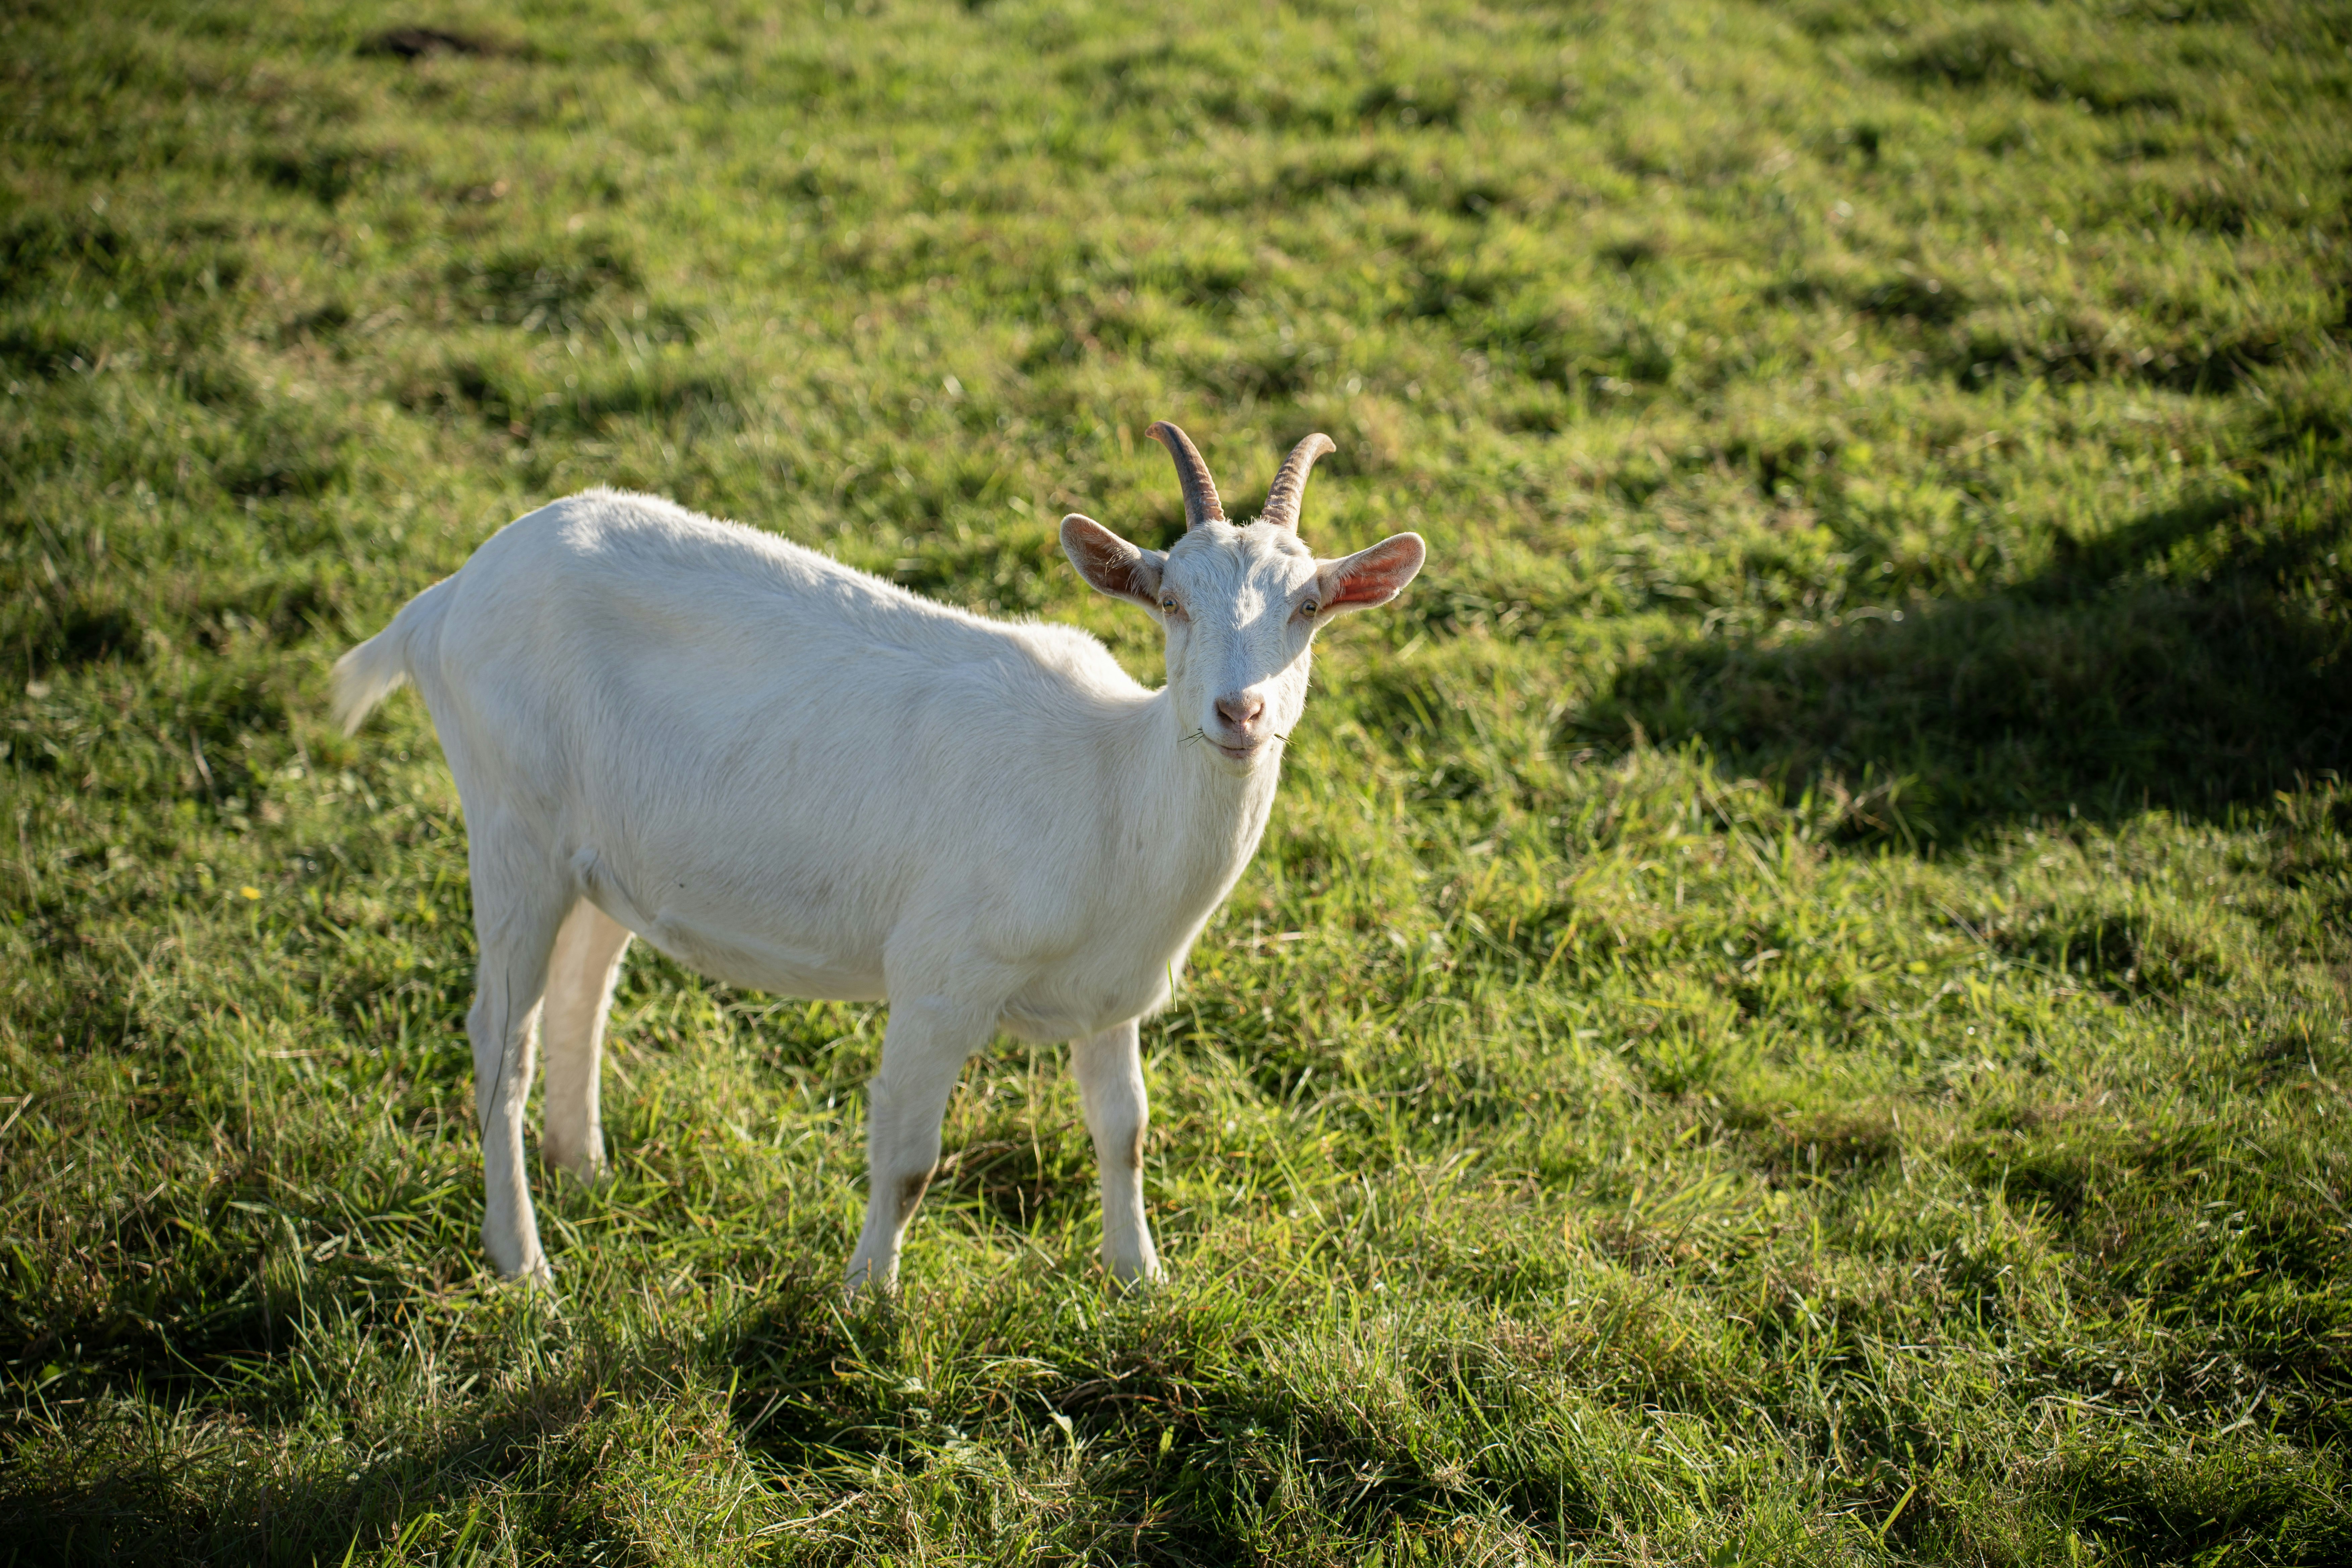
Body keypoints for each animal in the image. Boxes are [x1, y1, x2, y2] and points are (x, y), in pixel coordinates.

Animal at [332, 422, 1426, 1290]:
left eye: (1308, 606)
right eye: (1171, 601)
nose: (1238, 712)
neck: (1110, 790)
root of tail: (447, 599)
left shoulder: (1111, 993)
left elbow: (1125, 1129)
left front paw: (1139, 1280)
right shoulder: (941, 976)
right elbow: (906, 1154)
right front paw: (868, 1299)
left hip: (603, 847)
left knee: (582, 983)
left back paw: (584, 1167)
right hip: (510, 815)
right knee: (497, 1034)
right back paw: (523, 1262)